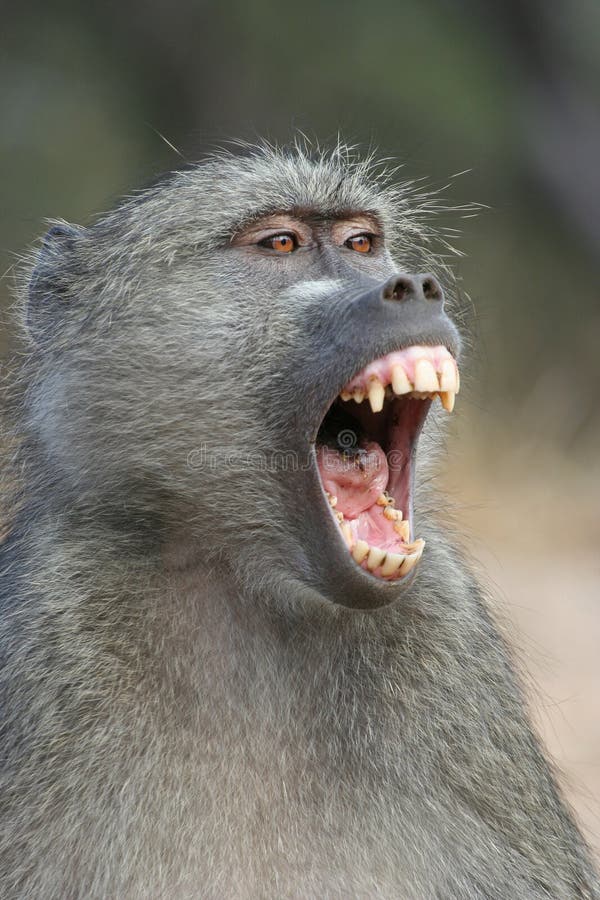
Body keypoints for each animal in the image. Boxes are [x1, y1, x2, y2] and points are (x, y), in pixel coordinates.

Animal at [0, 143, 598, 899]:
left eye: (362, 244)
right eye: (280, 244)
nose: (414, 287)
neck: (254, 592)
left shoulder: (448, 632)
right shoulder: (56, 622)